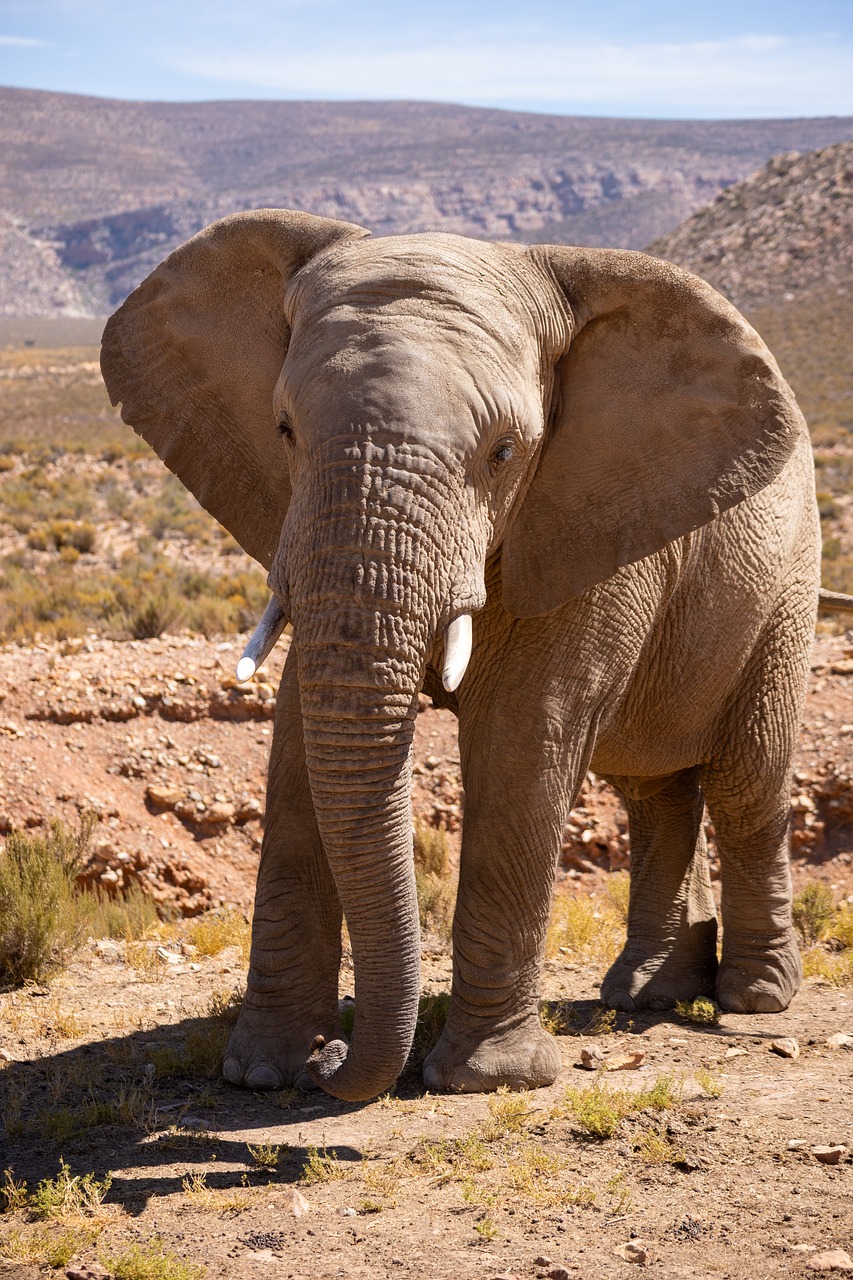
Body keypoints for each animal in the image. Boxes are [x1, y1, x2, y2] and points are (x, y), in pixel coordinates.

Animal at [101, 208, 823, 1103]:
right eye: (284, 431)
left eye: (503, 453)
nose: (332, 1058)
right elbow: (300, 740)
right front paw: (263, 1072)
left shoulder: (584, 513)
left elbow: (522, 741)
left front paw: (486, 1079)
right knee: (652, 790)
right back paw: (646, 994)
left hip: (786, 582)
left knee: (744, 777)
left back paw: (753, 998)